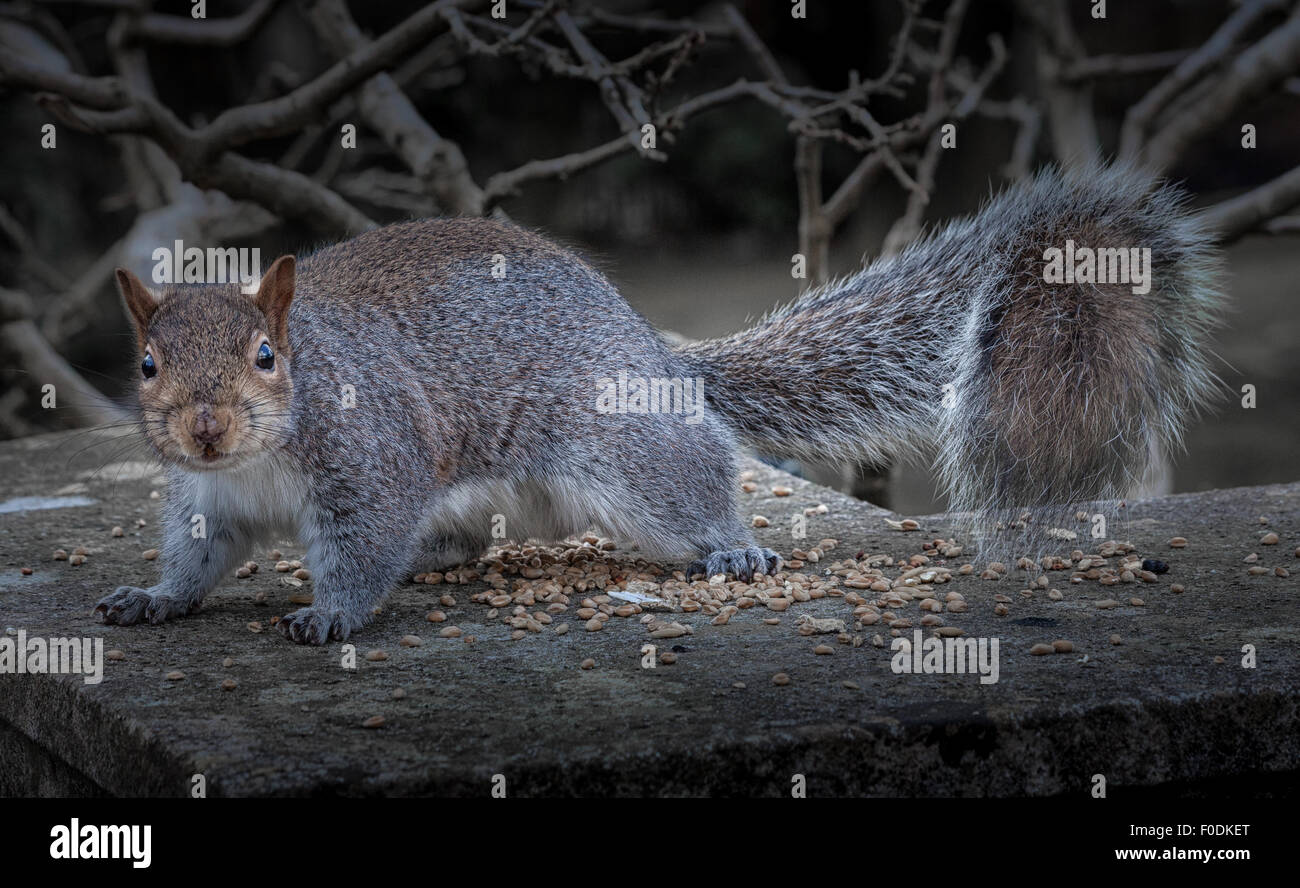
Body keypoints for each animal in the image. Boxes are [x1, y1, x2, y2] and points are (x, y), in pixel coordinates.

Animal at [94, 163, 1222, 645]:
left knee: (693, 488)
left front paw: (331, 613)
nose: (204, 427)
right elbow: (196, 556)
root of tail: (657, 360)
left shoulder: (371, 461)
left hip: (629, 452)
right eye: (145, 364)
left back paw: (734, 550)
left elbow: (363, 543)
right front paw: (151, 597)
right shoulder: (209, 501)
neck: (255, 465)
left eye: (267, 355)